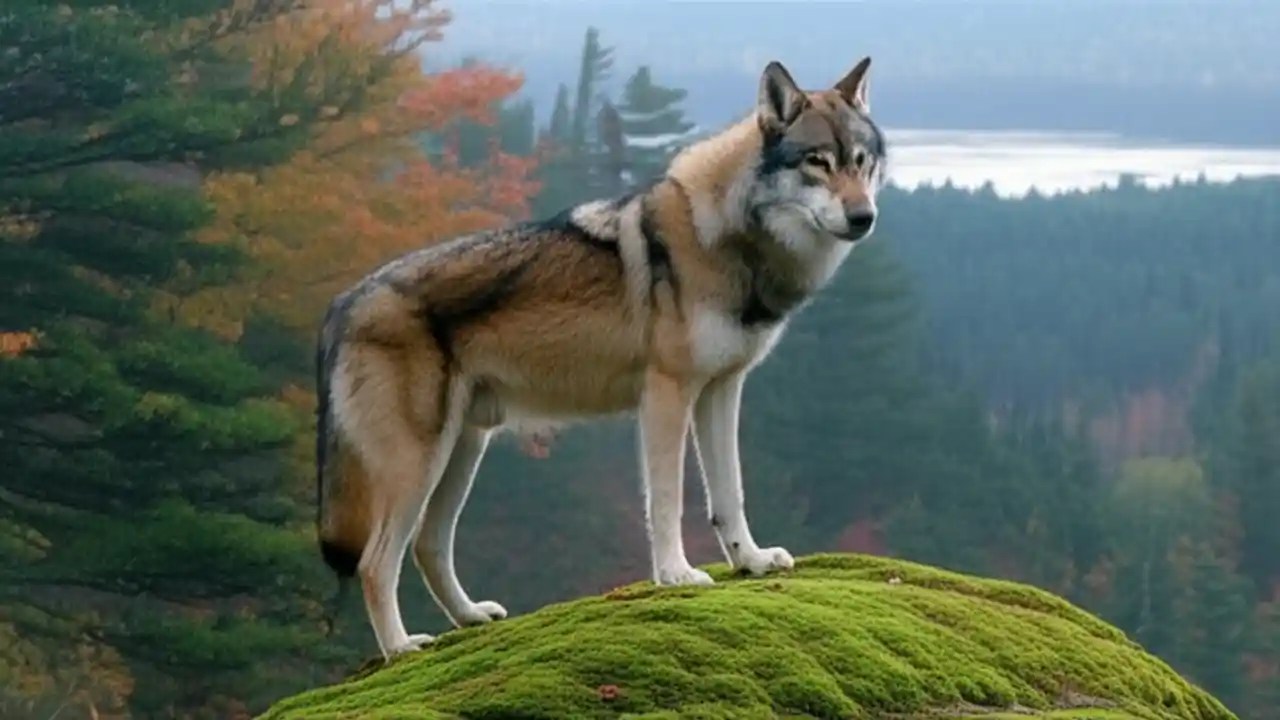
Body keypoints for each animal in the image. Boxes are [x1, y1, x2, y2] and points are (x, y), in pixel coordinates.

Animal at [315, 57, 888, 658]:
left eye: (860, 161)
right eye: (817, 162)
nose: (863, 216)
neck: (728, 238)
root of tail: (342, 303)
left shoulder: (721, 391)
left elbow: (730, 493)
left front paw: (750, 561)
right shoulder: (666, 394)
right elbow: (666, 499)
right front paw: (675, 575)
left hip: (463, 450)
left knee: (428, 545)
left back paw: (471, 617)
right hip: (418, 464)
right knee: (376, 562)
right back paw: (402, 648)